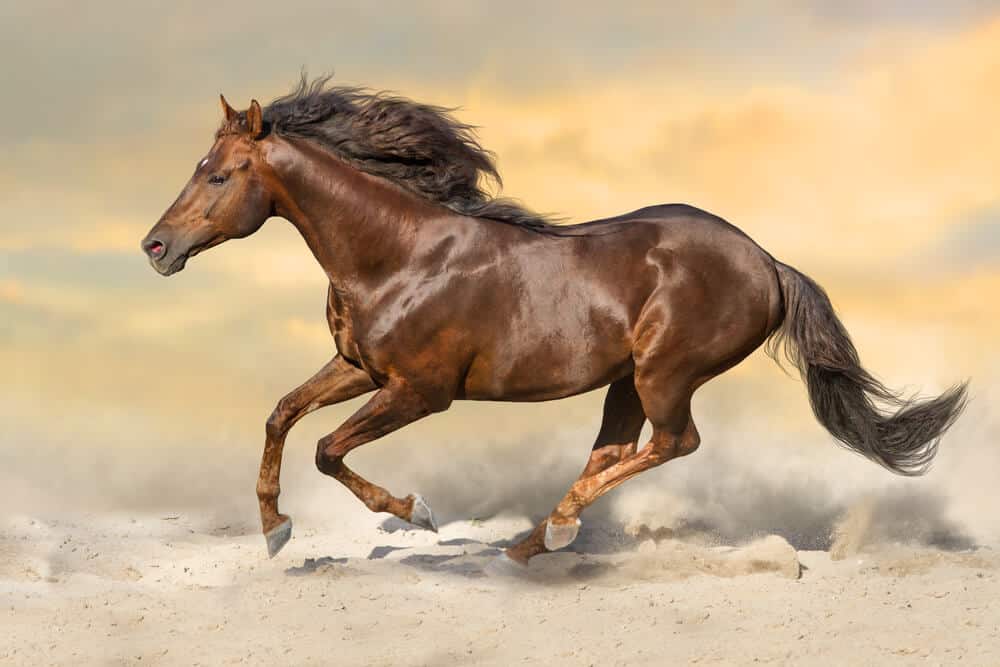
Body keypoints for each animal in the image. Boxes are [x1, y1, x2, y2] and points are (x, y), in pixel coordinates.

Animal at [141, 75, 967, 565]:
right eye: (197, 167)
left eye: (219, 175)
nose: (156, 247)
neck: (398, 254)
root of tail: (767, 260)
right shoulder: (358, 368)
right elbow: (282, 415)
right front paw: (274, 528)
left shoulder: (419, 391)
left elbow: (326, 449)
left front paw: (416, 513)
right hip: (626, 379)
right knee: (618, 449)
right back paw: (529, 543)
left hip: (664, 372)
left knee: (674, 442)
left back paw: (554, 529)